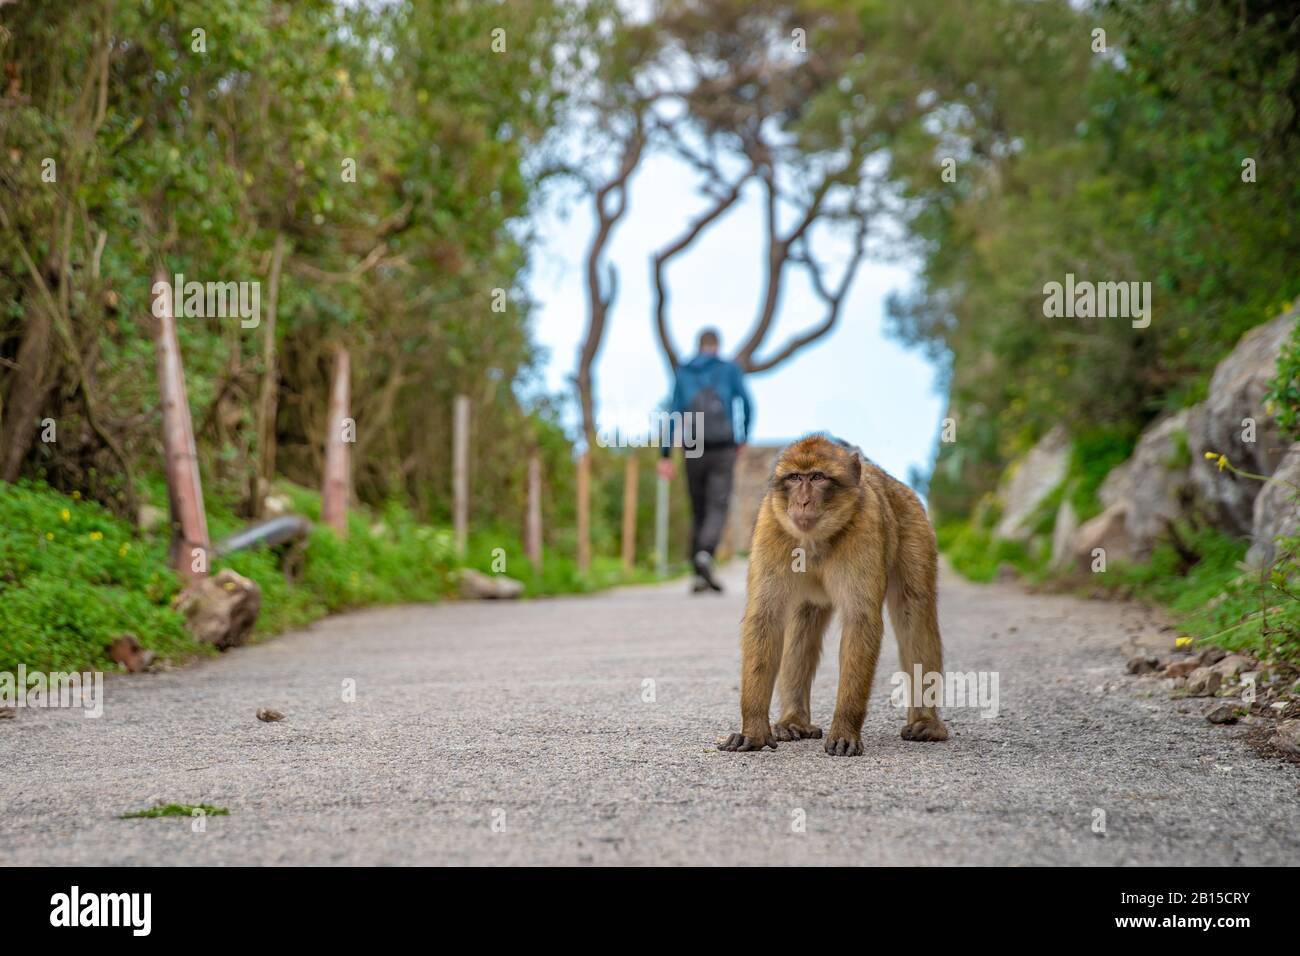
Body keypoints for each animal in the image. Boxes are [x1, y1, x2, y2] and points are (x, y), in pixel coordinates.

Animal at [717, 434, 949, 756]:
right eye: (794, 478)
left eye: (817, 477)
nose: (802, 501)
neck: (814, 540)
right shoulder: (771, 526)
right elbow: (765, 617)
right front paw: (753, 729)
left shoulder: (864, 527)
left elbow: (860, 619)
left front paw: (845, 729)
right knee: (803, 620)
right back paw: (794, 720)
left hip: (916, 529)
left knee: (914, 612)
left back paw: (926, 722)